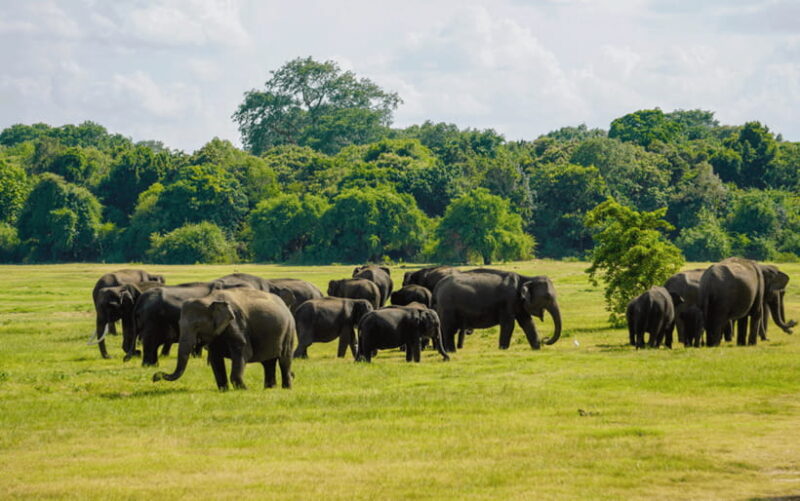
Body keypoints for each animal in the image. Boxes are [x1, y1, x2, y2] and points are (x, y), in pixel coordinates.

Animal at [153, 288, 296, 390]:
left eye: (197, 325)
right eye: (179, 324)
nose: (155, 377)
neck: (209, 299)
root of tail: (285, 305)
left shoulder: (237, 324)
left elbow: (243, 353)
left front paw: (244, 390)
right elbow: (215, 359)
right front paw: (224, 390)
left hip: (289, 330)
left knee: (284, 360)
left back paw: (286, 389)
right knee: (268, 362)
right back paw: (269, 389)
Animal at [433, 269, 562, 352]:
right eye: (547, 297)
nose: (545, 340)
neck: (525, 278)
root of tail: (438, 285)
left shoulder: (519, 303)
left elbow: (527, 323)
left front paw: (536, 348)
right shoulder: (508, 300)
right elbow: (509, 324)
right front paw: (503, 349)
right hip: (448, 307)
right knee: (449, 329)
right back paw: (451, 351)